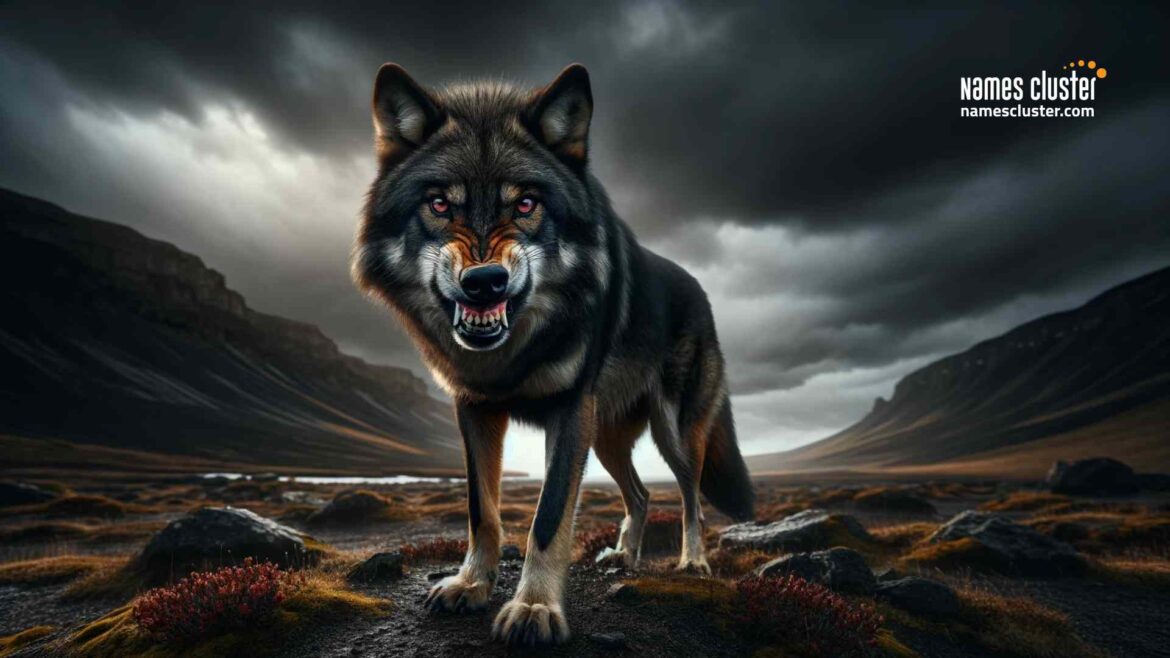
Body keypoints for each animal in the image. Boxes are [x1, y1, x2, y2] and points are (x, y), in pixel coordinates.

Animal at [352, 63, 754, 646]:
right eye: (440, 204)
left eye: (526, 204)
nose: (484, 281)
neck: (510, 353)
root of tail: (700, 292)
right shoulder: (475, 410)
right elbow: (482, 510)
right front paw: (469, 585)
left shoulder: (568, 412)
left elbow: (547, 518)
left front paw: (534, 609)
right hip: (605, 437)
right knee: (640, 495)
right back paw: (622, 558)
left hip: (672, 434)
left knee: (690, 496)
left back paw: (693, 563)